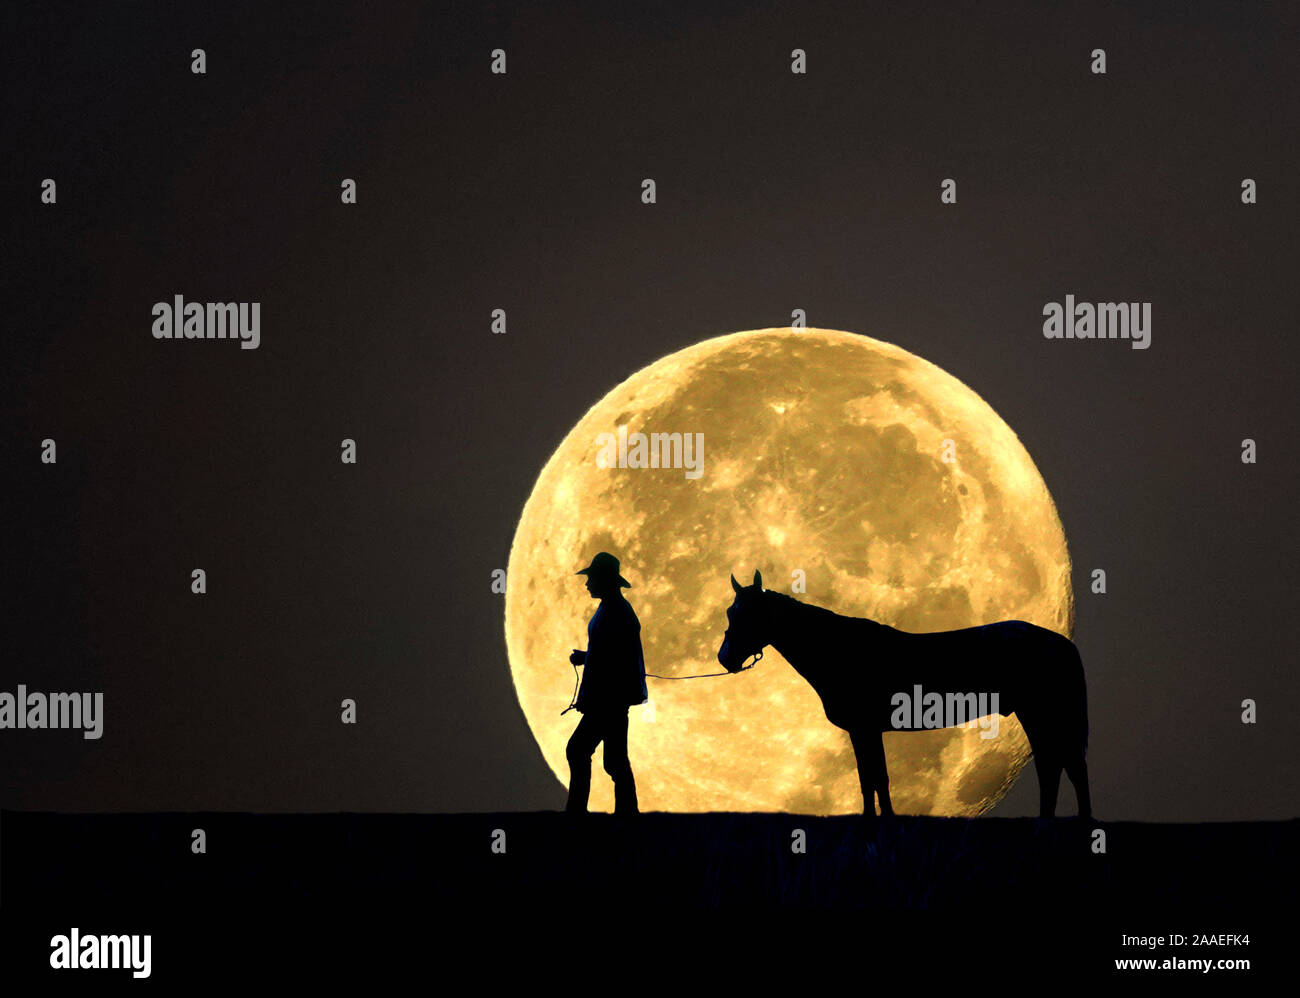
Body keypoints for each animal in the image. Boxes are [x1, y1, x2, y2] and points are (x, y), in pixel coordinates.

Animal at [717, 570, 1091, 820]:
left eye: (747, 613)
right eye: (730, 612)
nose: (725, 658)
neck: (839, 650)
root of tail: (1061, 643)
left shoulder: (865, 729)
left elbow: (874, 777)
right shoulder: (864, 731)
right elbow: (871, 778)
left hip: (1041, 714)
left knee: (1062, 765)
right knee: (1055, 765)